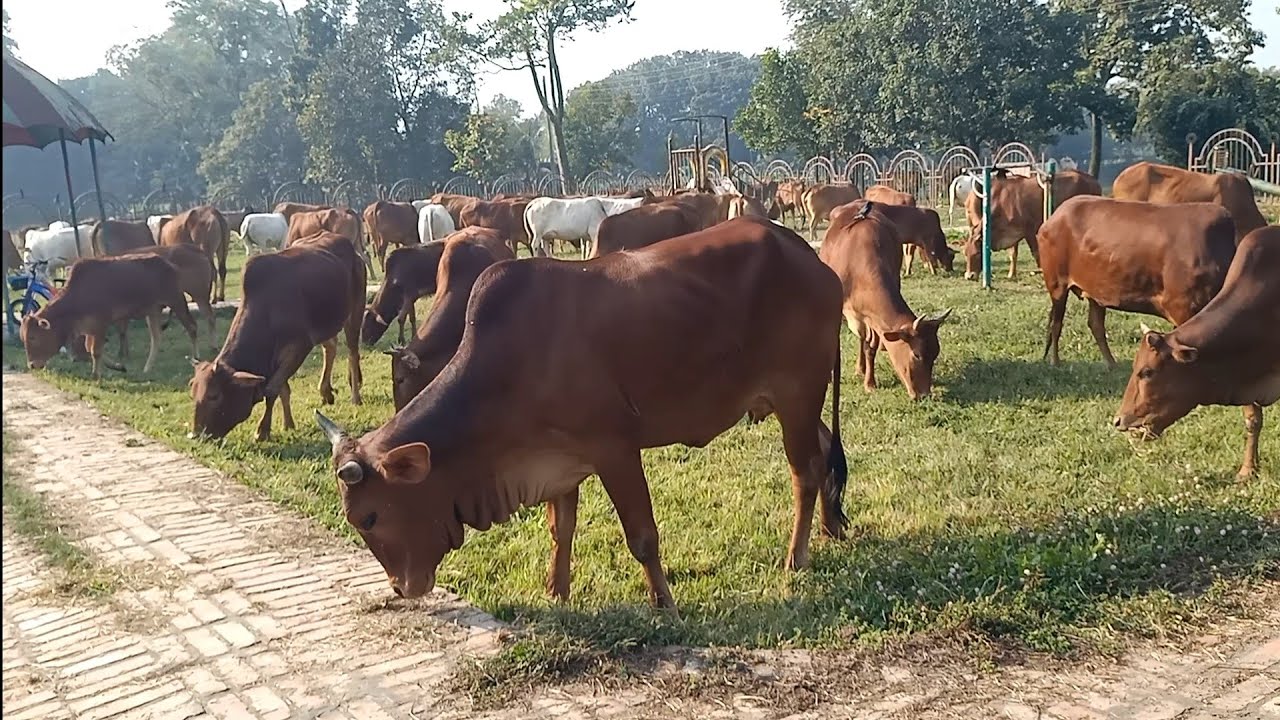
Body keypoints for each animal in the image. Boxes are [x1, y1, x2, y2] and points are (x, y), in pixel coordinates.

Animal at [21, 253, 199, 379]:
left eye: (33, 337)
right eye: (24, 338)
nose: (32, 365)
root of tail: (168, 264)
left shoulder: (101, 323)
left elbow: (95, 351)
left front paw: (96, 375)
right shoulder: (90, 328)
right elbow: (89, 349)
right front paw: (118, 366)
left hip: (176, 300)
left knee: (191, 327)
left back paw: (196, 358)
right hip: (153, 311)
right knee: (156, 338)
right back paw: (147, 368)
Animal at [189, 231, 365, 442]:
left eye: (214, 396)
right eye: (193, 393)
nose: (195, 434)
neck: (267, 308)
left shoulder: (299, 348)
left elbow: (272, 389)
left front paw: (263, 430)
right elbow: (283, 389)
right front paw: (288, 423)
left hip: (354, 313)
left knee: (353, 353)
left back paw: (355, 397)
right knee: (330, 349)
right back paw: (325, 391)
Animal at [820, 202, 951, 400]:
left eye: (935, 355)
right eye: (917, 354)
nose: (924, 395)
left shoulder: (874, 320)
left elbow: (870, 347)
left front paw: (870, 383)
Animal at [963, 168, 1102, 281]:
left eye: (977, 253)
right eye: (965, 253)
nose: (969, 276)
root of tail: (1093, 181)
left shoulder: (1028, 230)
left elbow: (1036, 253)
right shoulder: (1013, 232)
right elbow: (1013, 254)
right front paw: (1011, 274)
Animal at [1035, 196, 1237, 367]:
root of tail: (1055, 216)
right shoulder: (1182, 307)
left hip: (1096, 291)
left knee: (1095, 324)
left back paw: (1111, 365)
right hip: (1057, 284)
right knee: (1056, 323)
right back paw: (1055, 362)